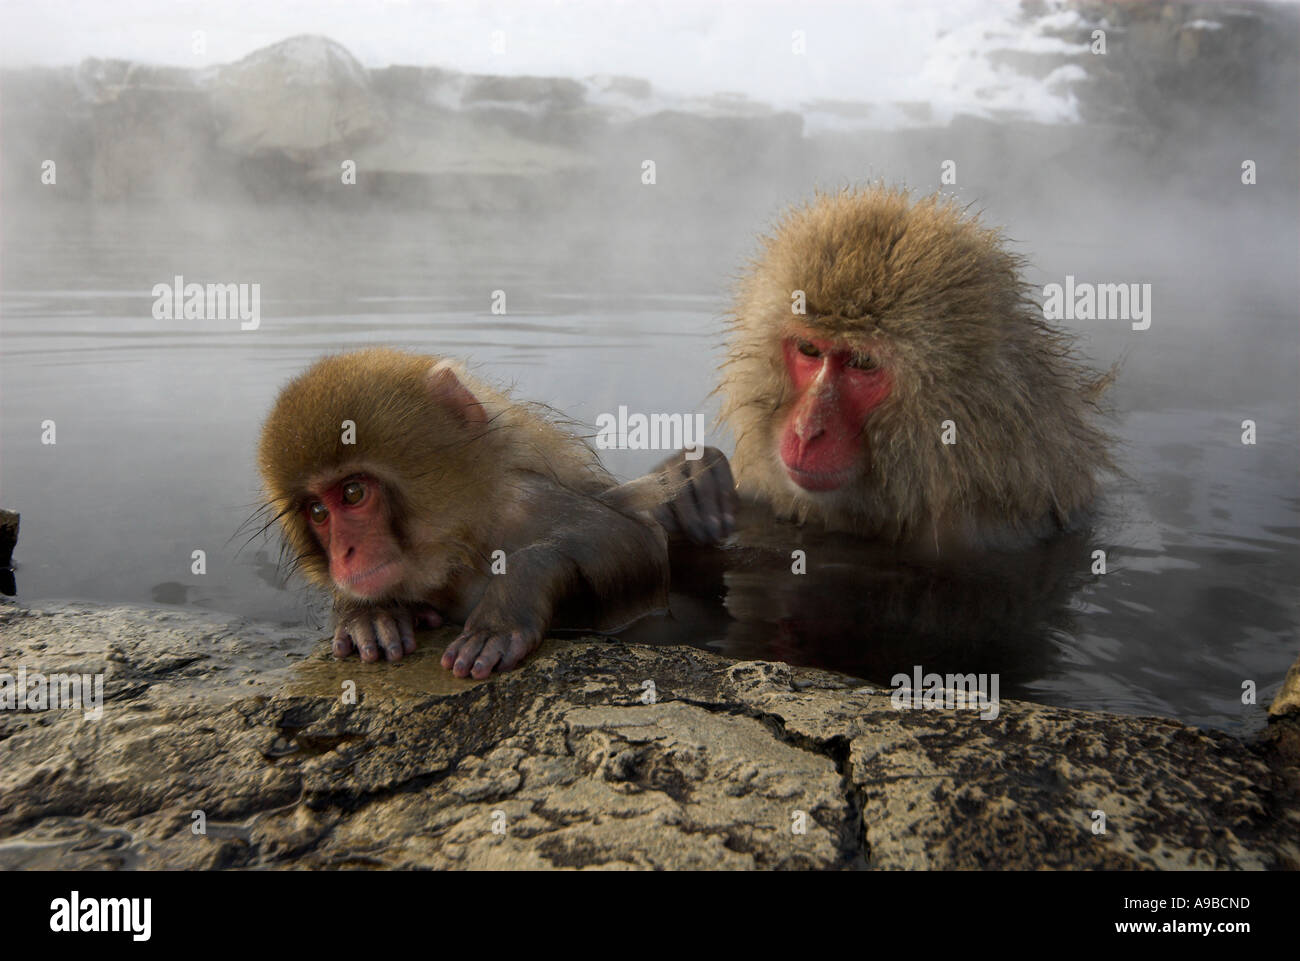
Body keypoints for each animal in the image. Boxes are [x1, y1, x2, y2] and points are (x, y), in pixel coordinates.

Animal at [257, 348, 670, 679]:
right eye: (318, 512)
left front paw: (508, 606)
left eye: (353, 493)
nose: (344, 555)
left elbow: (636, 545)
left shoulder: (526, 500)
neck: (464, 542)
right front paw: (369, 614)